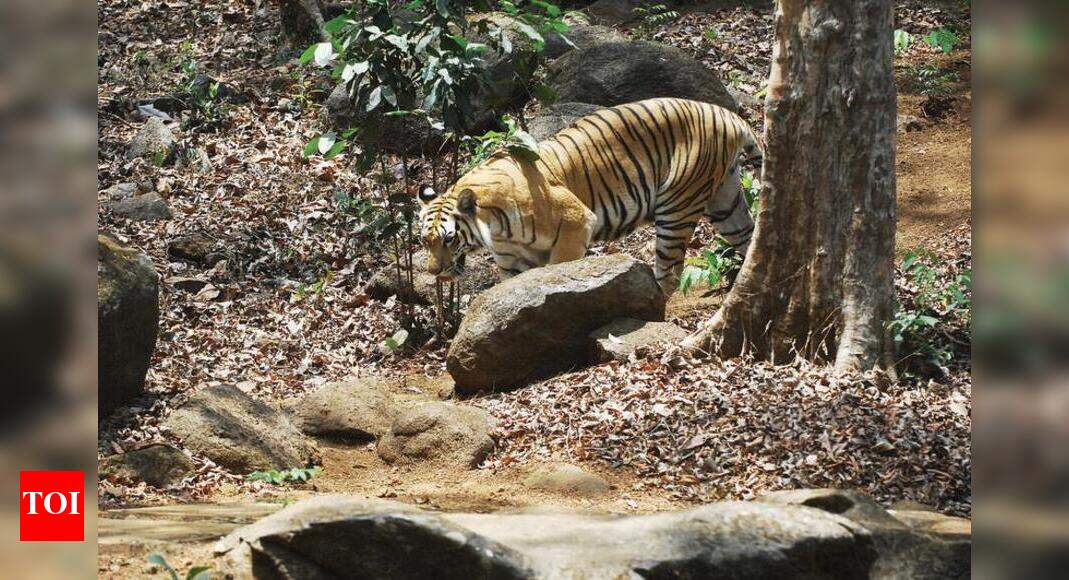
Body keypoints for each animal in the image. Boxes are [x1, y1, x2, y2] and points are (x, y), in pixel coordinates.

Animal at [417, 97, 762, 295]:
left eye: (449, 238)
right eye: (425, 241)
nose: (434, 273)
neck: (495, 228)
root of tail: (727, 114)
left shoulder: (575, 222)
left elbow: (557, 272)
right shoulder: (512, 263)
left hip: (677, 206)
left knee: (670, 271)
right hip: (725, 201)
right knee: (750, 238)